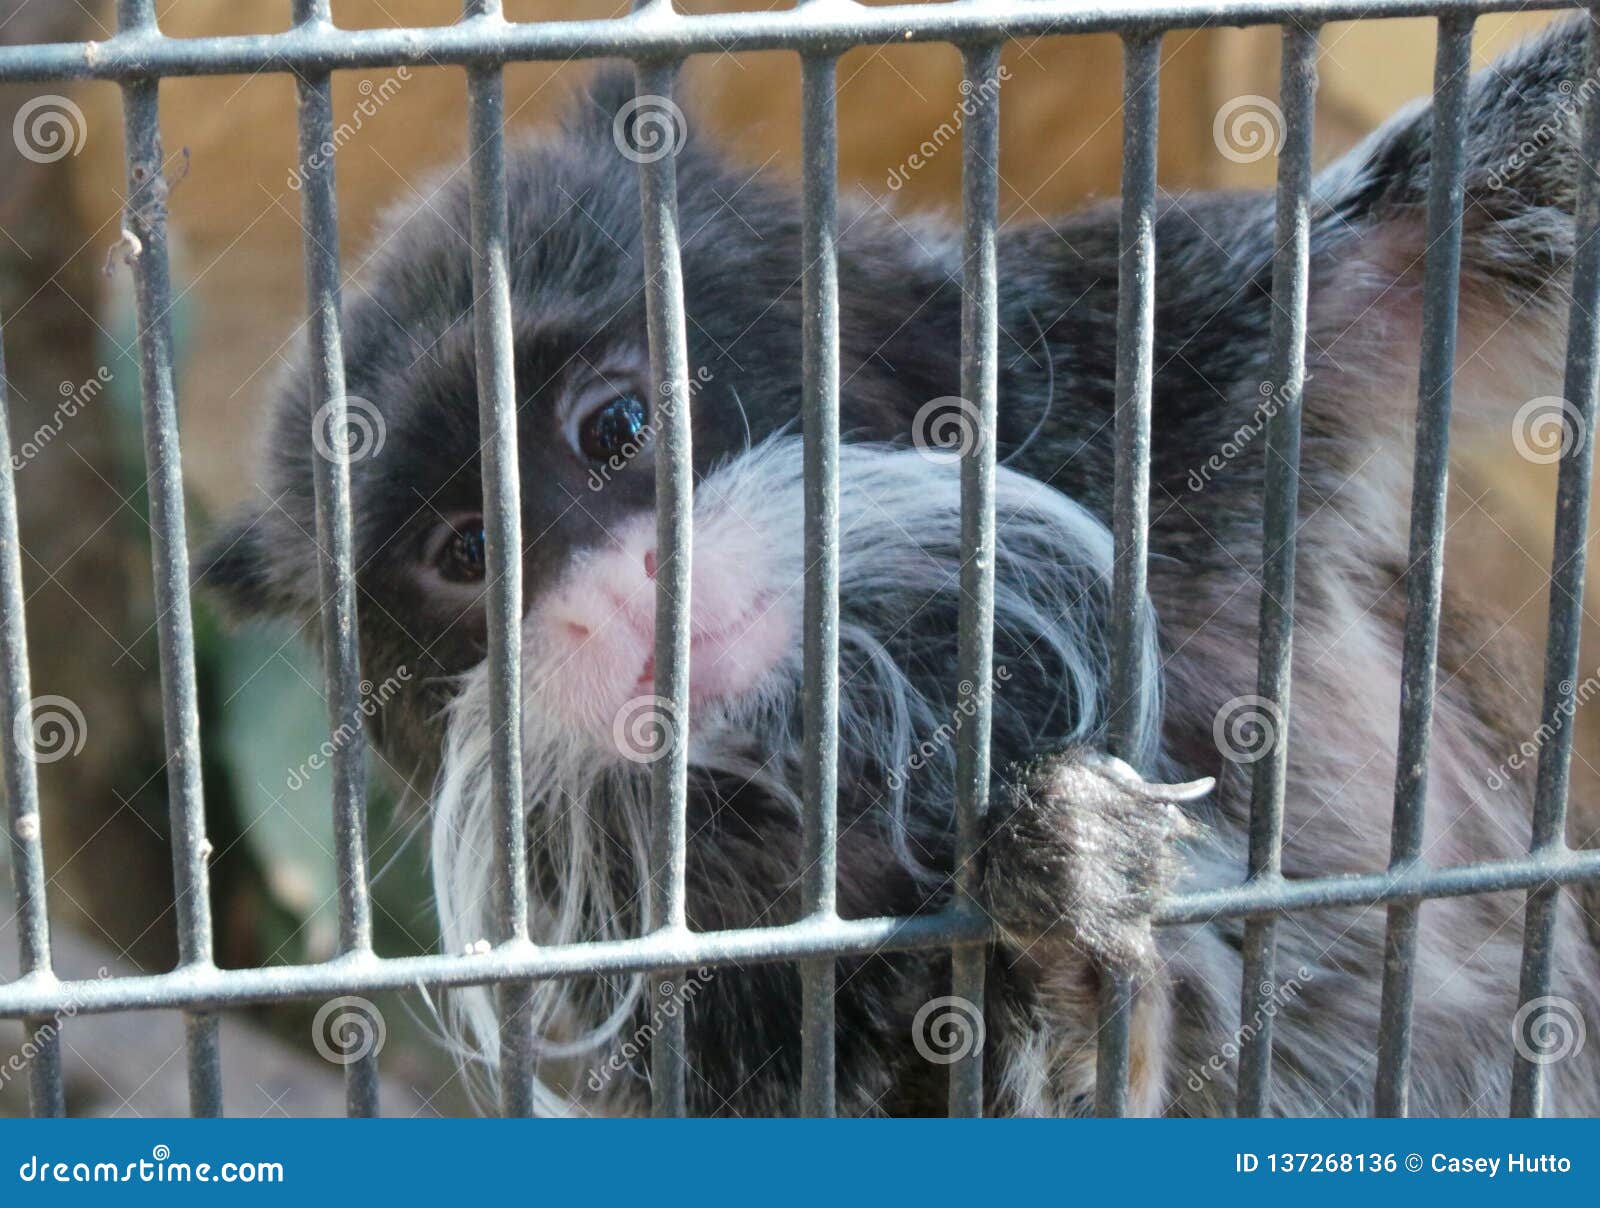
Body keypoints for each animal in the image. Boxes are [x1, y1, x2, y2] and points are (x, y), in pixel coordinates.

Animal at [203, 17, 1600, 1115]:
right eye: (470, 554)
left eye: (615, 428)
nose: (607, 596)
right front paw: (1068, 922)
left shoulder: (1180, 360)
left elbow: (1455, 229)